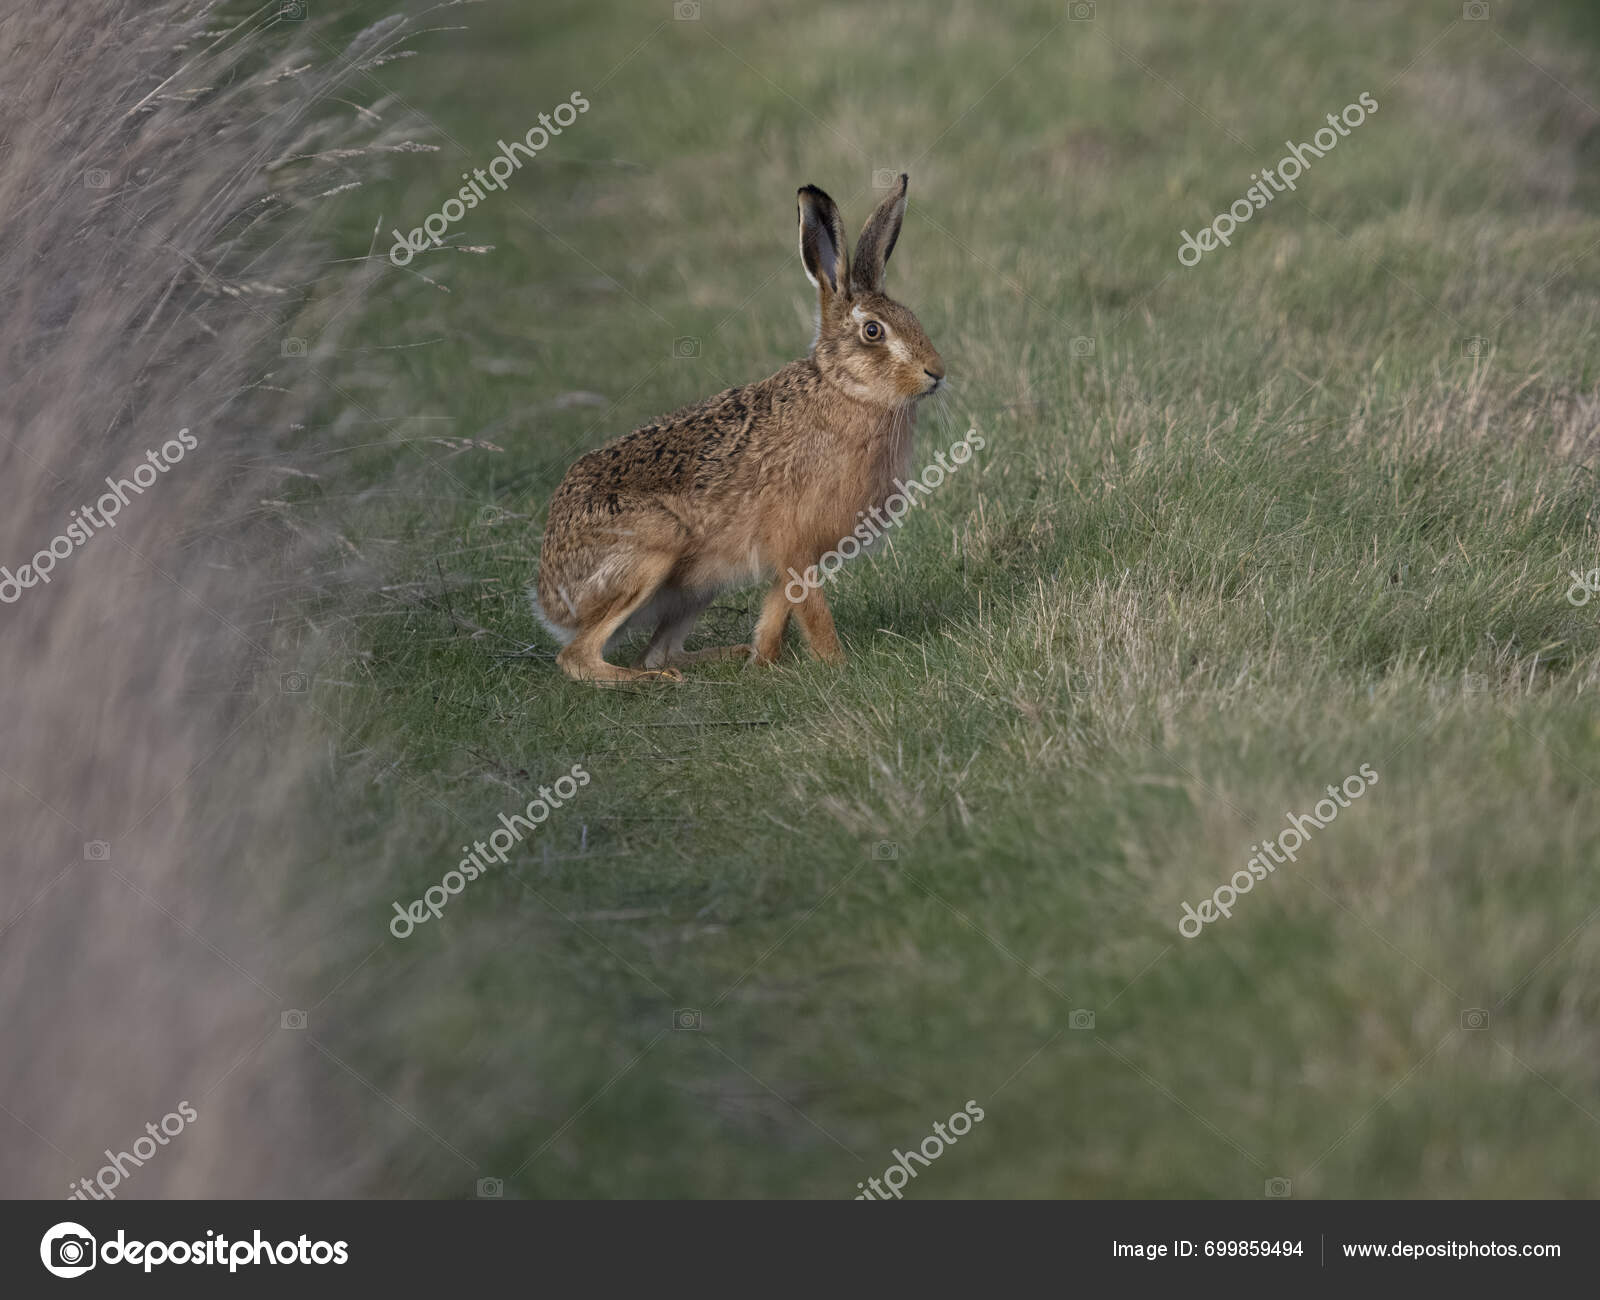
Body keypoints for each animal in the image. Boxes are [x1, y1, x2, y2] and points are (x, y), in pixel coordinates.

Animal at [532, 174, 944, 683]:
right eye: (873, 331)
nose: (936, 372)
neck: (846, 389)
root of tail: (549, 596)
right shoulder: (795, 543)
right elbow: (811, 609)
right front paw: (836, 664)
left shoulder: (788, 559)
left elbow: (778, 606)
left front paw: (763, 659)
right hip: (652, 547)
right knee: (580, 656)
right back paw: (648, 682)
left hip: (699, 583)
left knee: (657, 649)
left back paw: (724, 656)